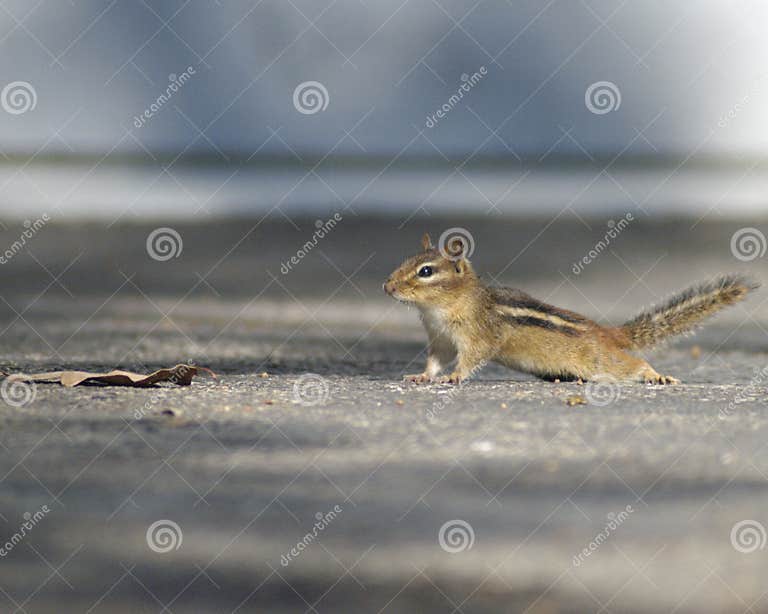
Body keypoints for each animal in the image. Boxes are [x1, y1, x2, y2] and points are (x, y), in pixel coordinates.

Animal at [383, 233, 759, 385]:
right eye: (405, 262)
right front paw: (422, 375)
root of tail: (607, 333)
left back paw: (656, 375)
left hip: (602, 362)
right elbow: (435, 359)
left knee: (633, 365)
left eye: (426, 272)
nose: (387, 287)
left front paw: (455, 376)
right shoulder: (440, 339)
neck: (439, 310)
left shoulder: (478, 335)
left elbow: (472, 358)